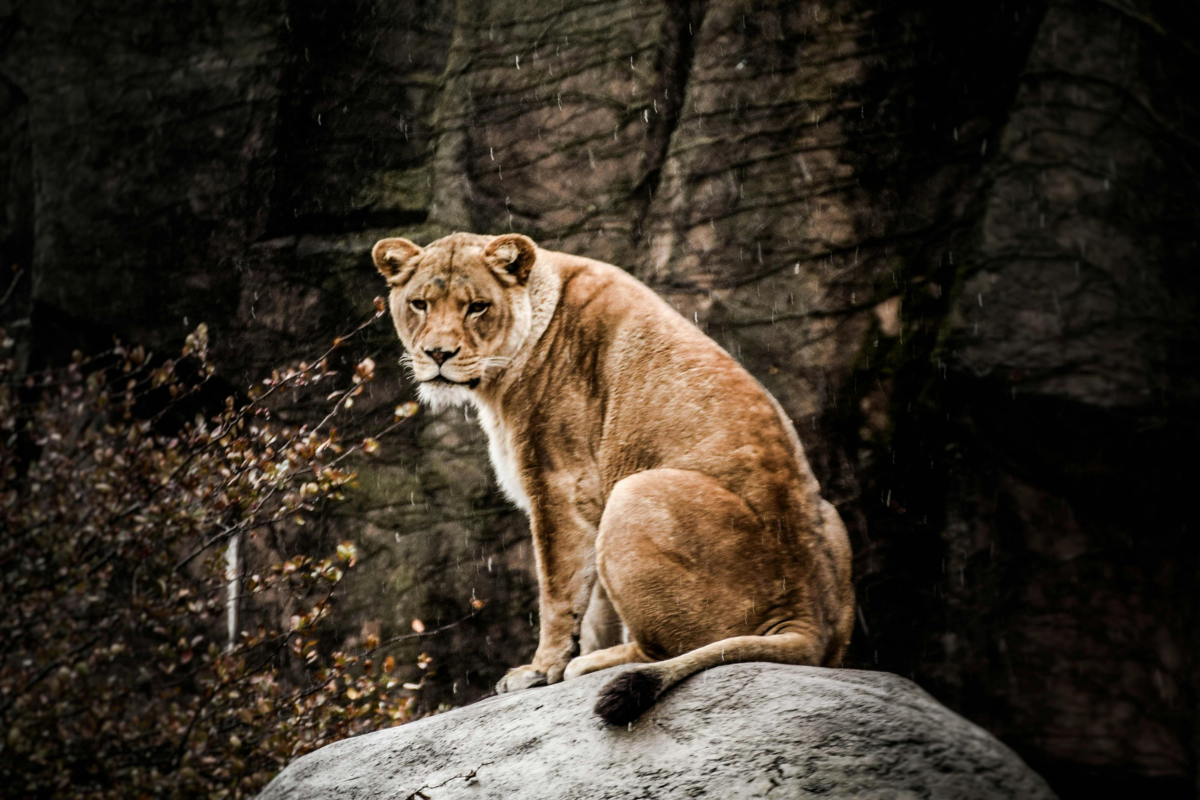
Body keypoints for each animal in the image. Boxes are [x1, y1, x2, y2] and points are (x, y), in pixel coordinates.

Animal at [373, 231, 854, 724]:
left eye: (477, 307)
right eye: (419, 304)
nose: (438, 354)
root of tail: (805, 613)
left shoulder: (559, 485)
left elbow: (558, 593)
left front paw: (539, 670)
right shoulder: (586, 500)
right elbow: (595, 607)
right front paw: (562, 661)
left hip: (634, 491)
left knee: (669, 649)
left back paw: (591, 665)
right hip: (828, 517)